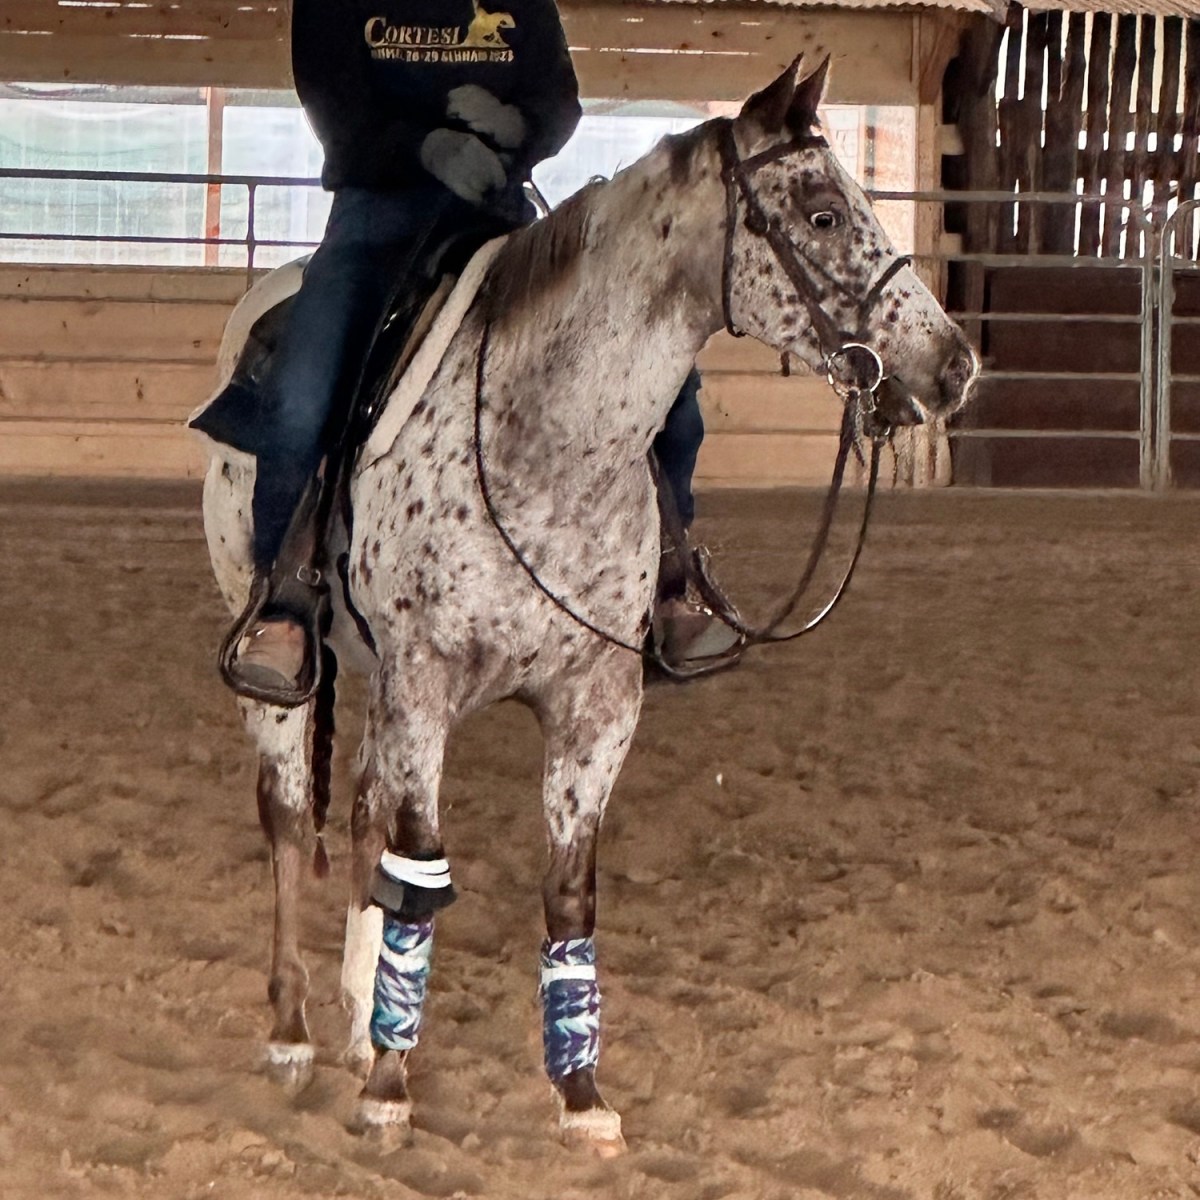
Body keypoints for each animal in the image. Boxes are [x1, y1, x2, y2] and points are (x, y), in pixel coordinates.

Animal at [197, 57, 979, 1156]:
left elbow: (568, 892)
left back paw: (356, 1025)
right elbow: (422, 871)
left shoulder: (598, 702)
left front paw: (578, 1092)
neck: (548, 438)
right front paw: (392, 1088)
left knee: (357, 824)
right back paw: (295, 1033)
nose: (952, 365)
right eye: (824, 213)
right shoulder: (426, 684)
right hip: (288, 667)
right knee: (285, 818)